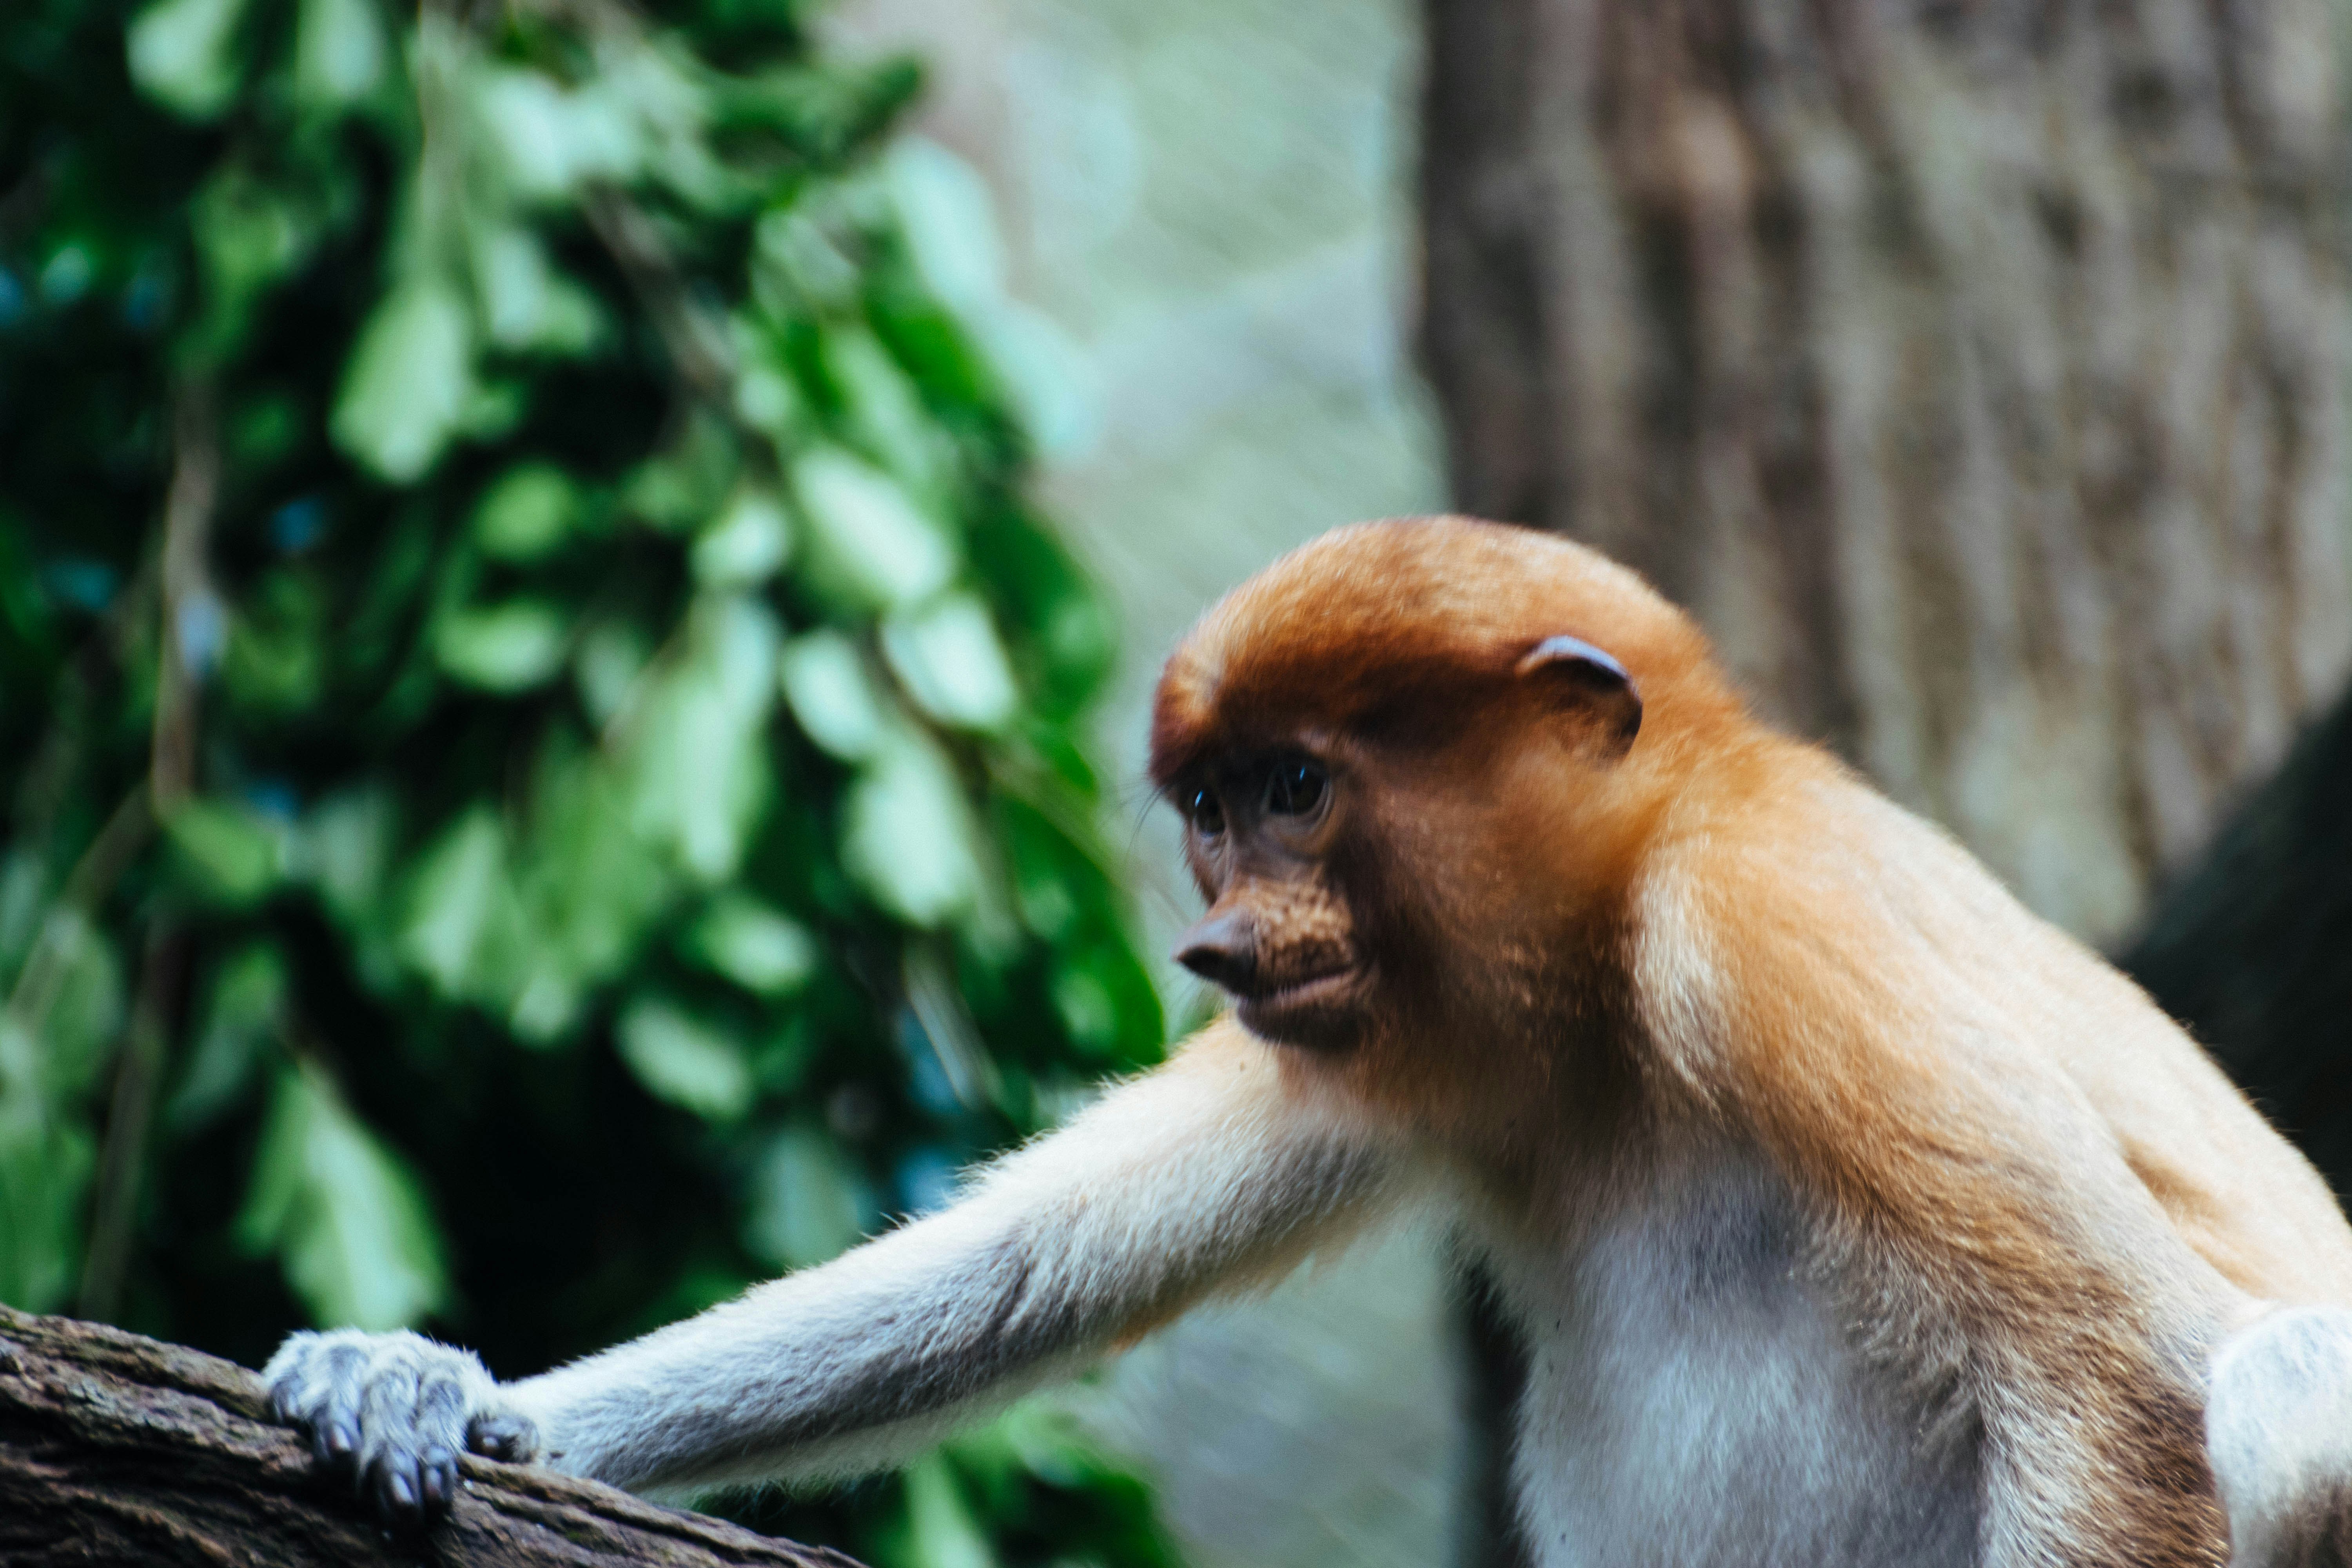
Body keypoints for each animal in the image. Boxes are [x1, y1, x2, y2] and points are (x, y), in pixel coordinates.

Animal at [267, 516, 2352, 1566]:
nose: (1214, 938)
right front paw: (434, 1388)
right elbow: (1024, 1267)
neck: (1611, 951)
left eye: (1294, 787)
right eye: (1207, 804)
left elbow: (2117, 1387)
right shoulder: (1405, 1027)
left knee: (2265, 1388)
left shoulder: (1766, 930)